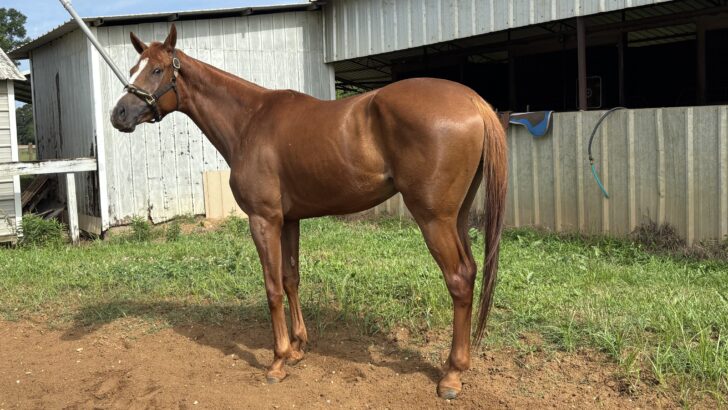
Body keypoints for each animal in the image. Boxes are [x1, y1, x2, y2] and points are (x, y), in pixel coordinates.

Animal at [110, 24, 507, 400]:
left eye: (157, 70)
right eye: (133, 68)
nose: (119, 114)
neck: (249, 120)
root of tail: (472, 101)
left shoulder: (263, 221)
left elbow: (271, 287)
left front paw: (277, 361)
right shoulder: (288, 220)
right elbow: (291, 279)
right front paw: (298, 347)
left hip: (433, 219)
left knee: (458, 279)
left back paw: (452, 374)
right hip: (456, 217)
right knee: (471, 271)